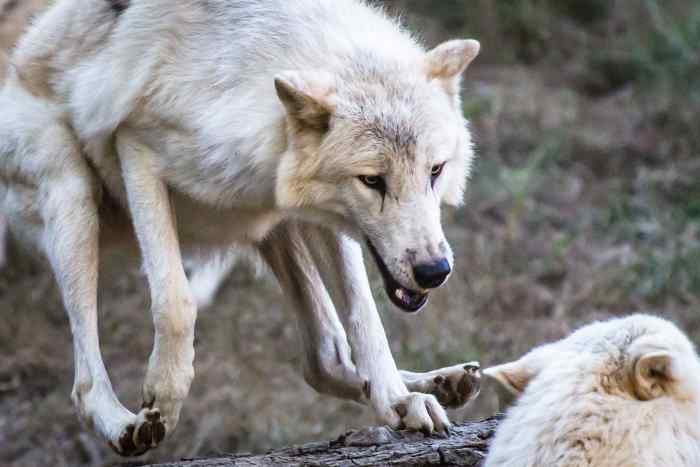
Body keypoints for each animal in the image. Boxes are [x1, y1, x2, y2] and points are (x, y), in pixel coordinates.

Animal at [0, 0, 482, 456]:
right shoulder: (135, 149)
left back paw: (440, 382)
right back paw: (122, 426)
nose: (434, 271)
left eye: (435, 170)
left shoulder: (324, 216)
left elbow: (364, 315)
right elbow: (176, 302)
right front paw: (163, 398)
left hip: (279, 224)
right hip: (73, 191)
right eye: (372, 181)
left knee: (323, 359)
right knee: (83, 382)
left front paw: (398, 403)